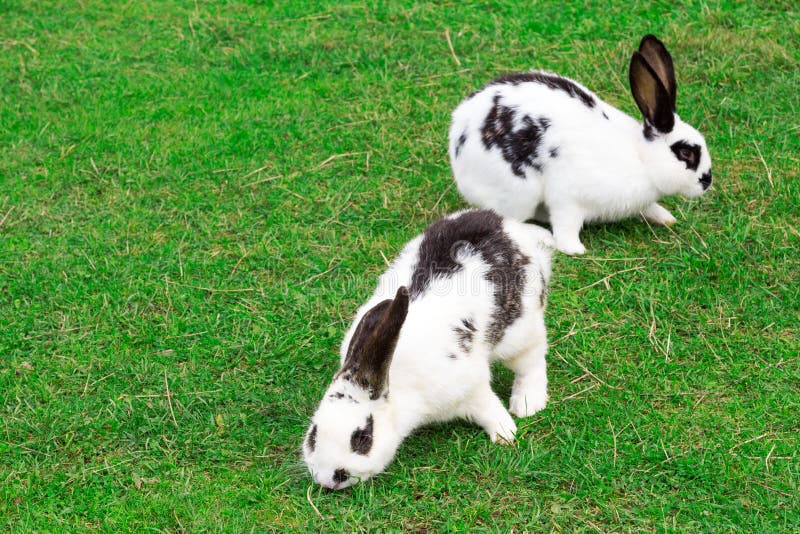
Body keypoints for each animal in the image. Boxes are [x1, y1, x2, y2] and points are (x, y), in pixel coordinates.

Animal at [303, 209, 554, 489]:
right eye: (313, 434)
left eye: (363, 438)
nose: (328, 479)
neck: (396, 384)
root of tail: (510, 227)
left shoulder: (470, 388)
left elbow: (489, 408)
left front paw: (505, 433)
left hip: (519, 333)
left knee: (532, 360)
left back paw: (527, 404)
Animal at [449, 35, 713, 255]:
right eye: (685, 152)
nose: (707, 181)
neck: (641, 159)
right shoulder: (567, 198)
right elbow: (567, 225)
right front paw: (574, 249)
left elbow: (649, 208)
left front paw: (666, 217)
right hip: (519, 193)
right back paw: (543, 236)